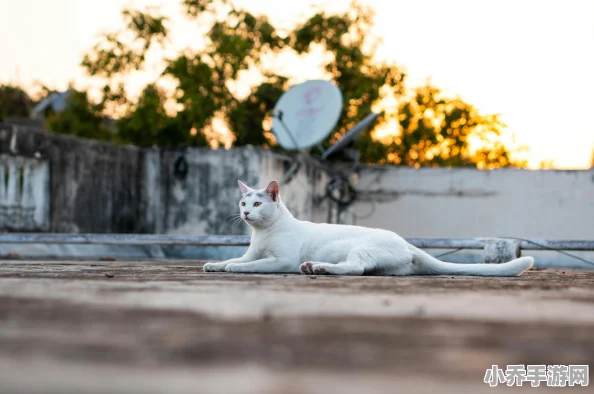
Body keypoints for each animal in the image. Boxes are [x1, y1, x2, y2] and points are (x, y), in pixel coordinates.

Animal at [204, 180, 532, 276]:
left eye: (258, 204)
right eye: (242, 203)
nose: (246, 212)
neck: (263, 231)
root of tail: (406, 242)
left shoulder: (282, 260)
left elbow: (252, 264)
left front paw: (232, 268)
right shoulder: (250, 252)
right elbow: (236, 258)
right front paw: (216, 264)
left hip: (361, 250)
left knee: (356, 269)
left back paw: (320, 268)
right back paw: (314, 267)